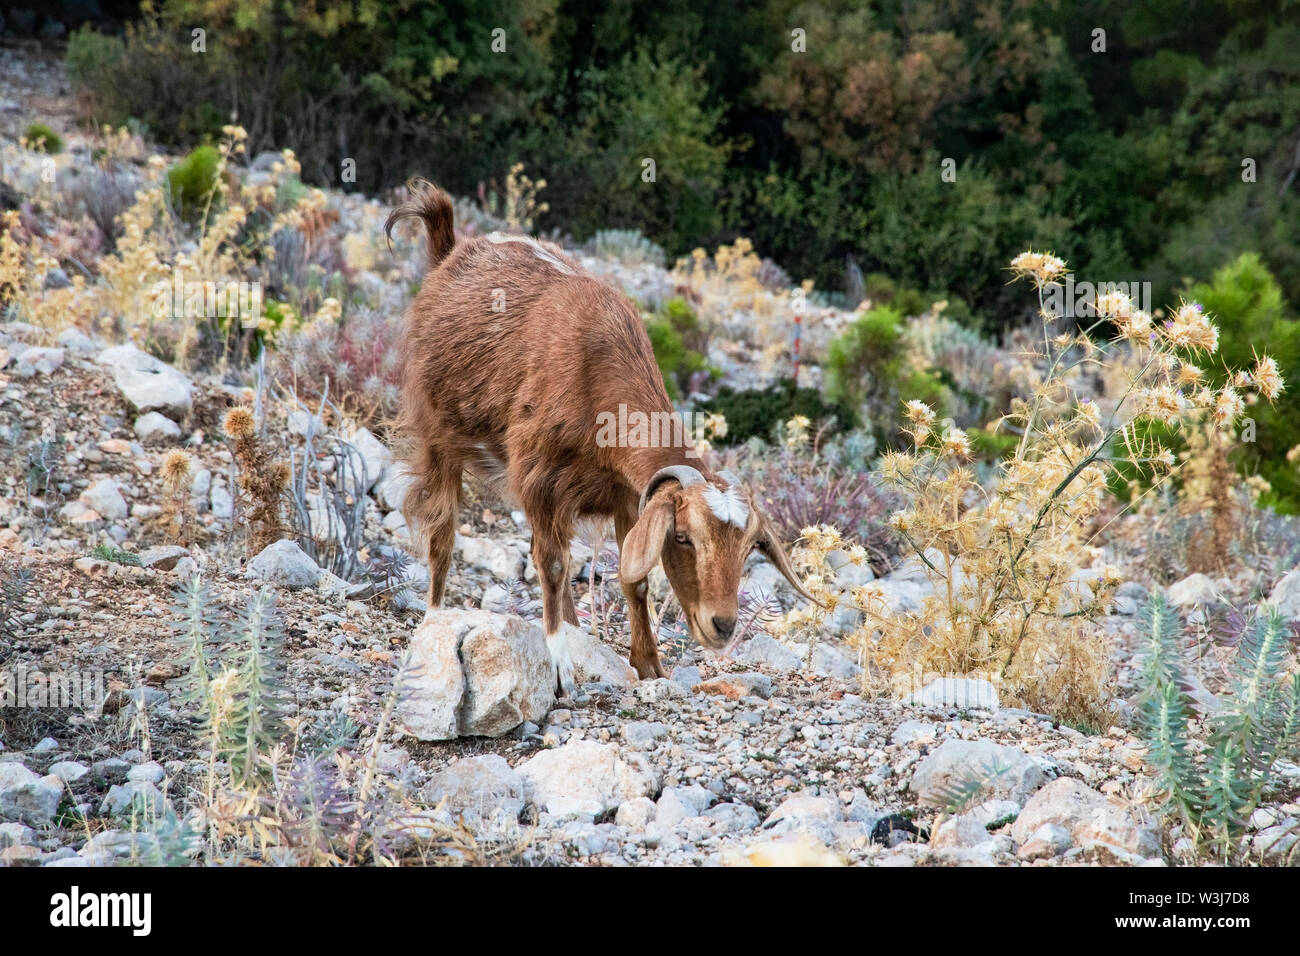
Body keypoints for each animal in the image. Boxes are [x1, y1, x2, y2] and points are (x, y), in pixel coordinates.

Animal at [386, 180, 815, 694]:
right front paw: (558, 663)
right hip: (437, 434)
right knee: (443, 532)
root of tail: (449, 254)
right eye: (683, 537)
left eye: (750, 548)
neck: (596, 372)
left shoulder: (626, 495)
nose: (723, 625)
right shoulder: (539, 478)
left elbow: (634, 579)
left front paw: (648, 666)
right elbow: (551, 563)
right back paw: (435, 618)